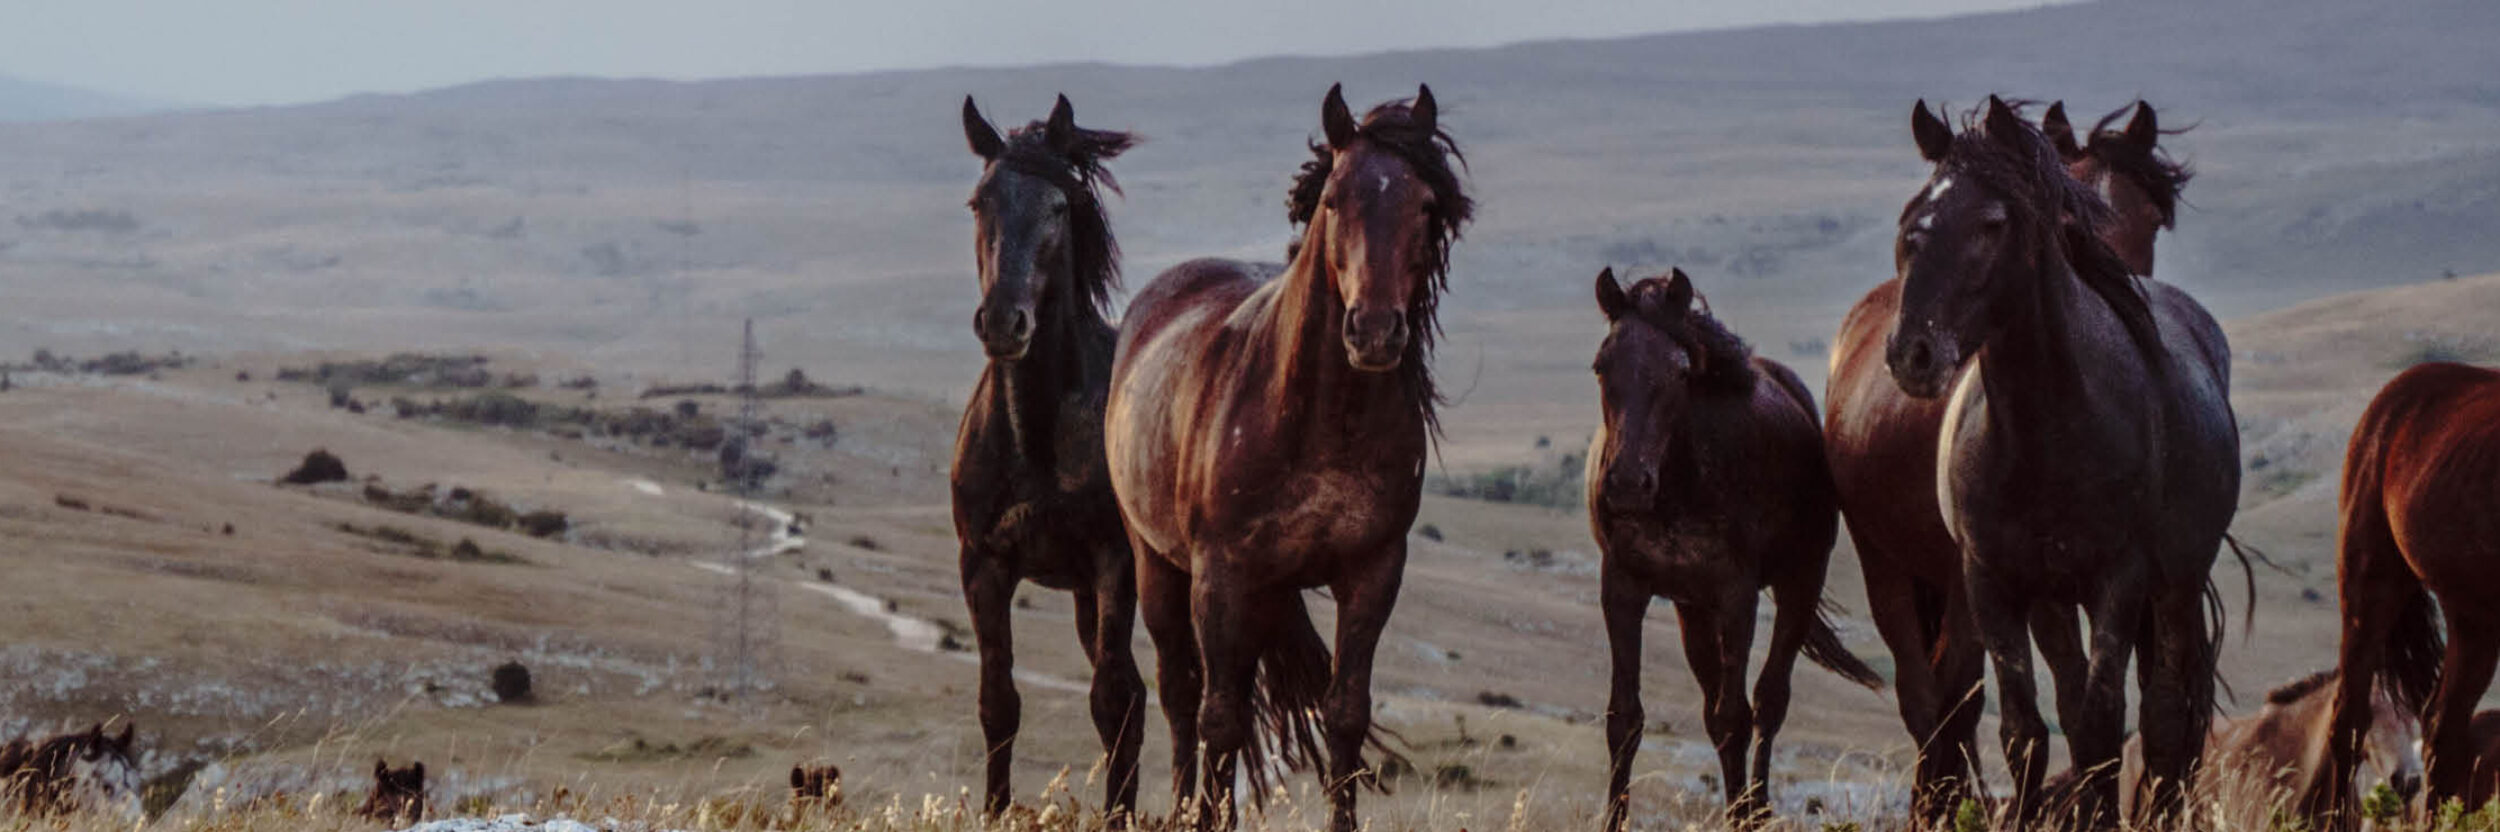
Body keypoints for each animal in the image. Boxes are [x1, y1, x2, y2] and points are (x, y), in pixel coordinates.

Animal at [953, 94, 1149, 819]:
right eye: (979, 201)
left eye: (1059, 207)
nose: (1003, 321)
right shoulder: (984, 566)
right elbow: (998, 702)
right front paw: (993, 811)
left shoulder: (1114, 563)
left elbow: (1110, 699)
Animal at [1105, 83, 1469, 832]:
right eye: (1333, 198)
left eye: (1425, 204)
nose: (1376, 331)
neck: (1321, 422)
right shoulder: (1222, 574)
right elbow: (1216, 717)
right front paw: (1206, 818)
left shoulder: (1373, 570)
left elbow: (1345, 713)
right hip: (1158, 564)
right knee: (1183, 694)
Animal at [1587, 267, 1884, 829]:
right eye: (1601, 365)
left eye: (1681, 371)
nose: (1629, 484)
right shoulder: (1623, 588)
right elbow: (1625, 717)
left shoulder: (1736, 595)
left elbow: (1735, 717)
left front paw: (1743, 815)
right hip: (1692, 610)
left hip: (1797, 584)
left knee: (1768, 702)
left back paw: (1758, 809)